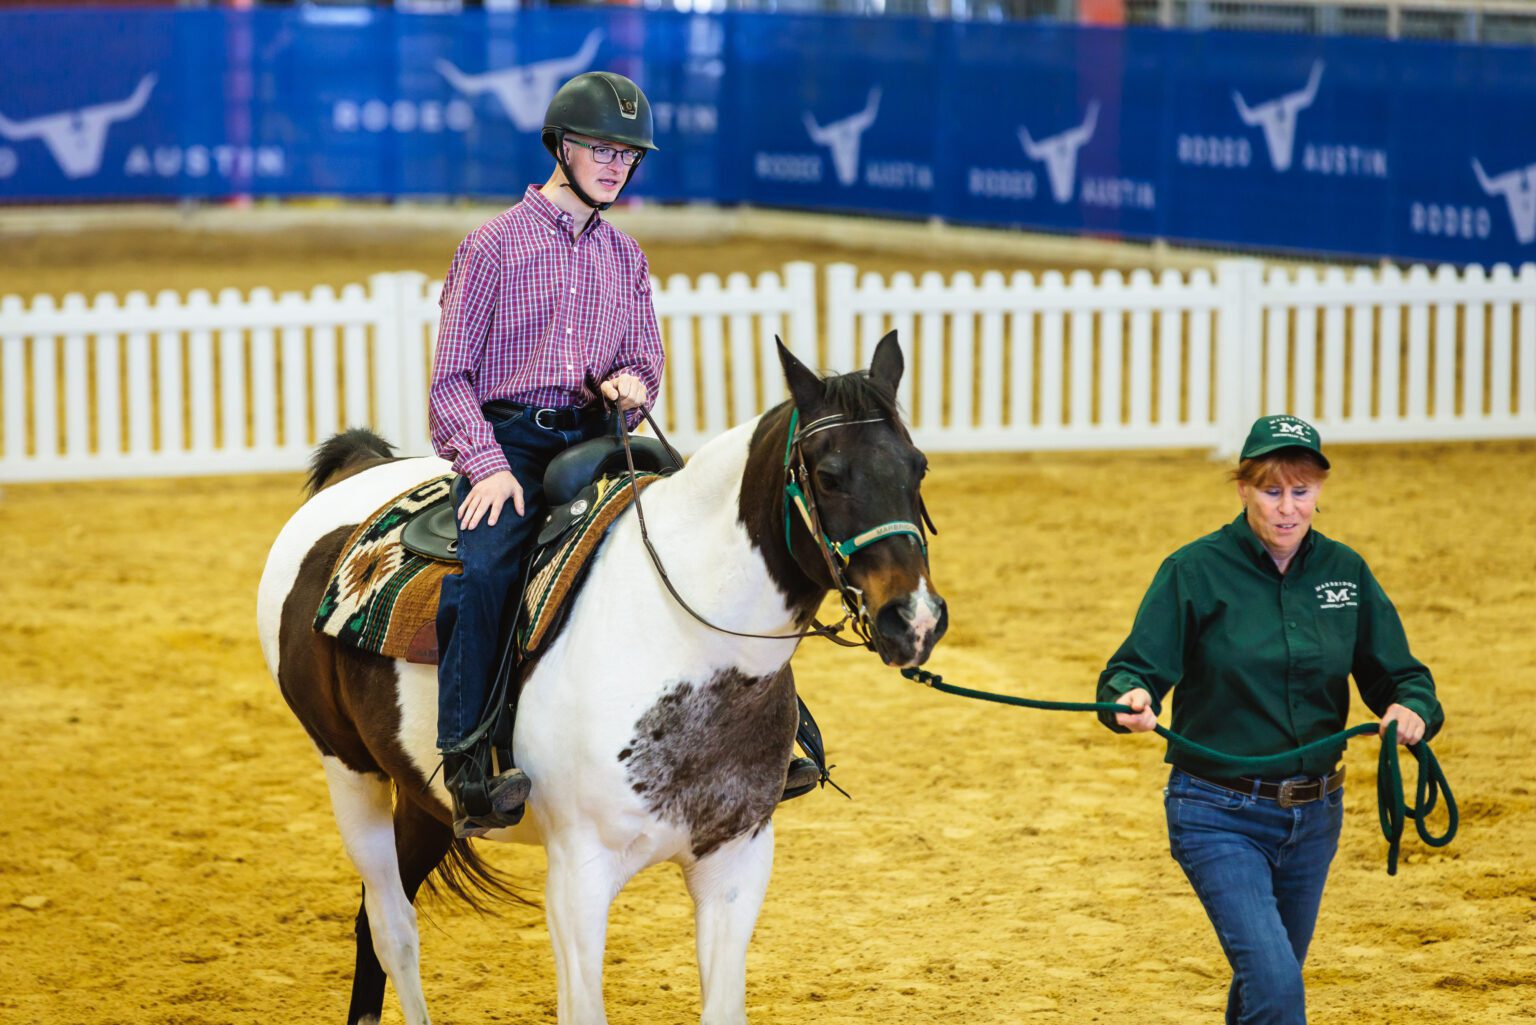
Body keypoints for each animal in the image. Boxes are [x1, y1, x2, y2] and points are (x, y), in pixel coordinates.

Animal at [256, 334, 948, 1025]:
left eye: (918, 468)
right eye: (829, 476)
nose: (914, 618)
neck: (680, 643)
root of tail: (360, 469)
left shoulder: (736, 866)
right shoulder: (577, 879)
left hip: (424, 795)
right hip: (349, 771)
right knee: (391, 926)